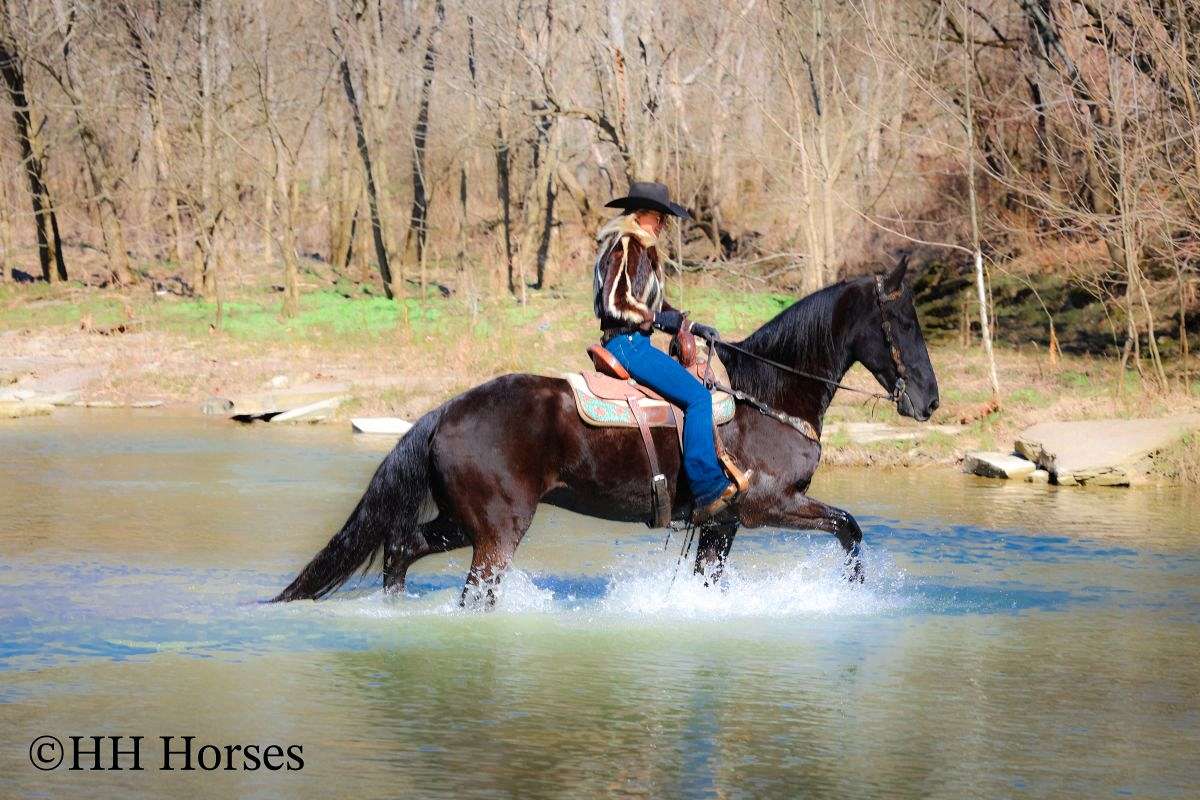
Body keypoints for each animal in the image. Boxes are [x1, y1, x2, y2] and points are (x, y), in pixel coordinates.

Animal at [272, 254, 939, 606]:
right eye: (904, 322)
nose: (930, 401)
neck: (769, 395)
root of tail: (446, 410)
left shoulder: (720, 525)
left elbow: (714, 581)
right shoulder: (767, 505)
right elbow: (849, 527)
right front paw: (857, 594)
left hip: (463, 521)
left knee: (402, 547)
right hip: (497, 531)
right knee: (469, 589)